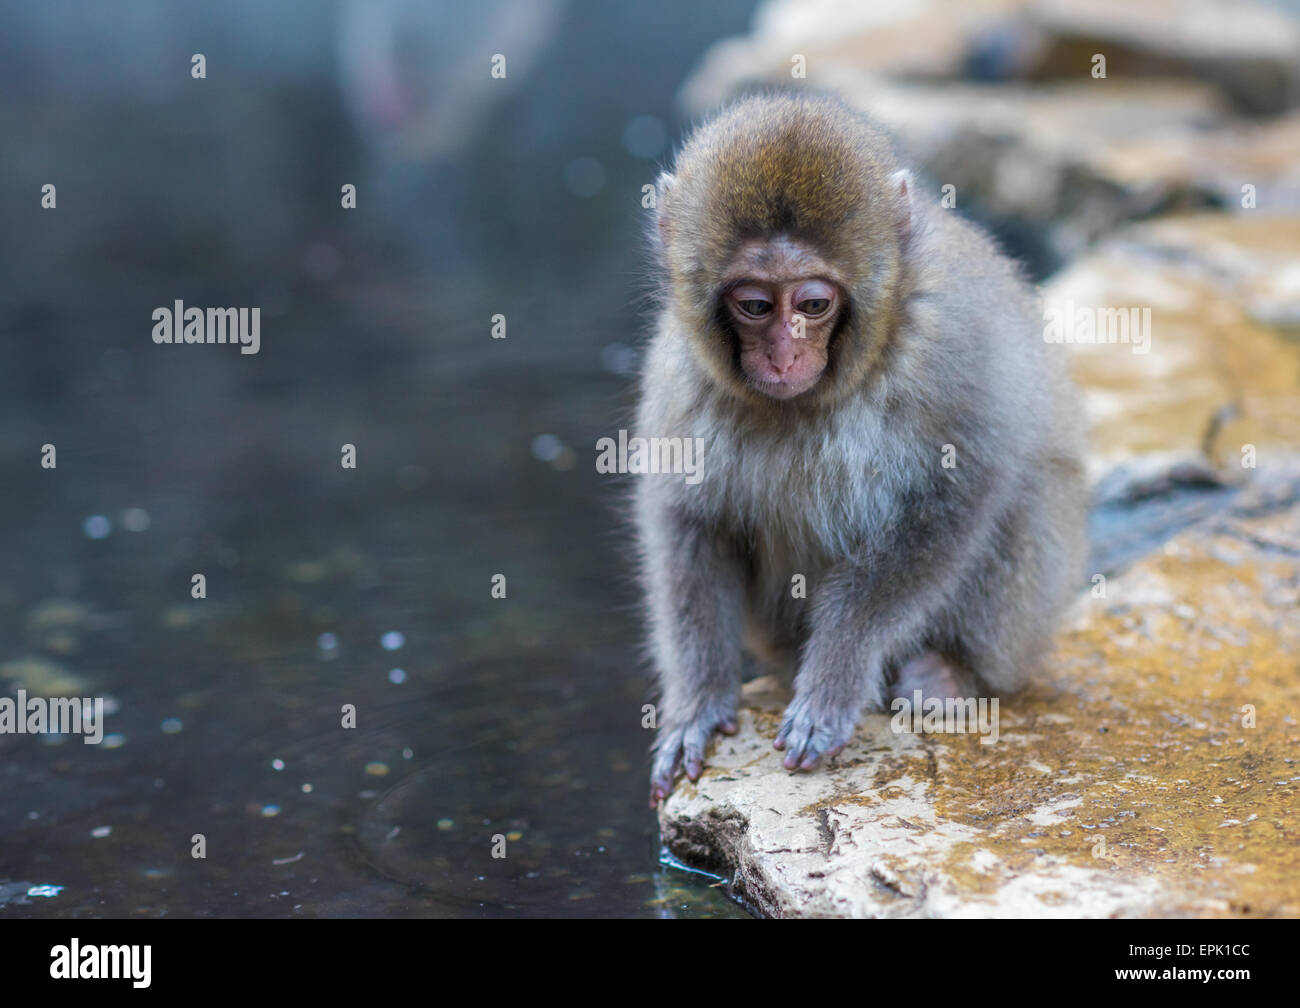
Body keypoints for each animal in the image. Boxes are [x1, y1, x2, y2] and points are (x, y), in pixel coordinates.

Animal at [635, 93, 1086, 807]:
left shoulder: (949, 338)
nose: (784, 353)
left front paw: (834, 679)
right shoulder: (682, 372)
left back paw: (952, 672)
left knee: (1021, 497)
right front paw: (697, 704)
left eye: (814, 303)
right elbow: (692, 522)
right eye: (755, 305)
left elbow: (960, 493)